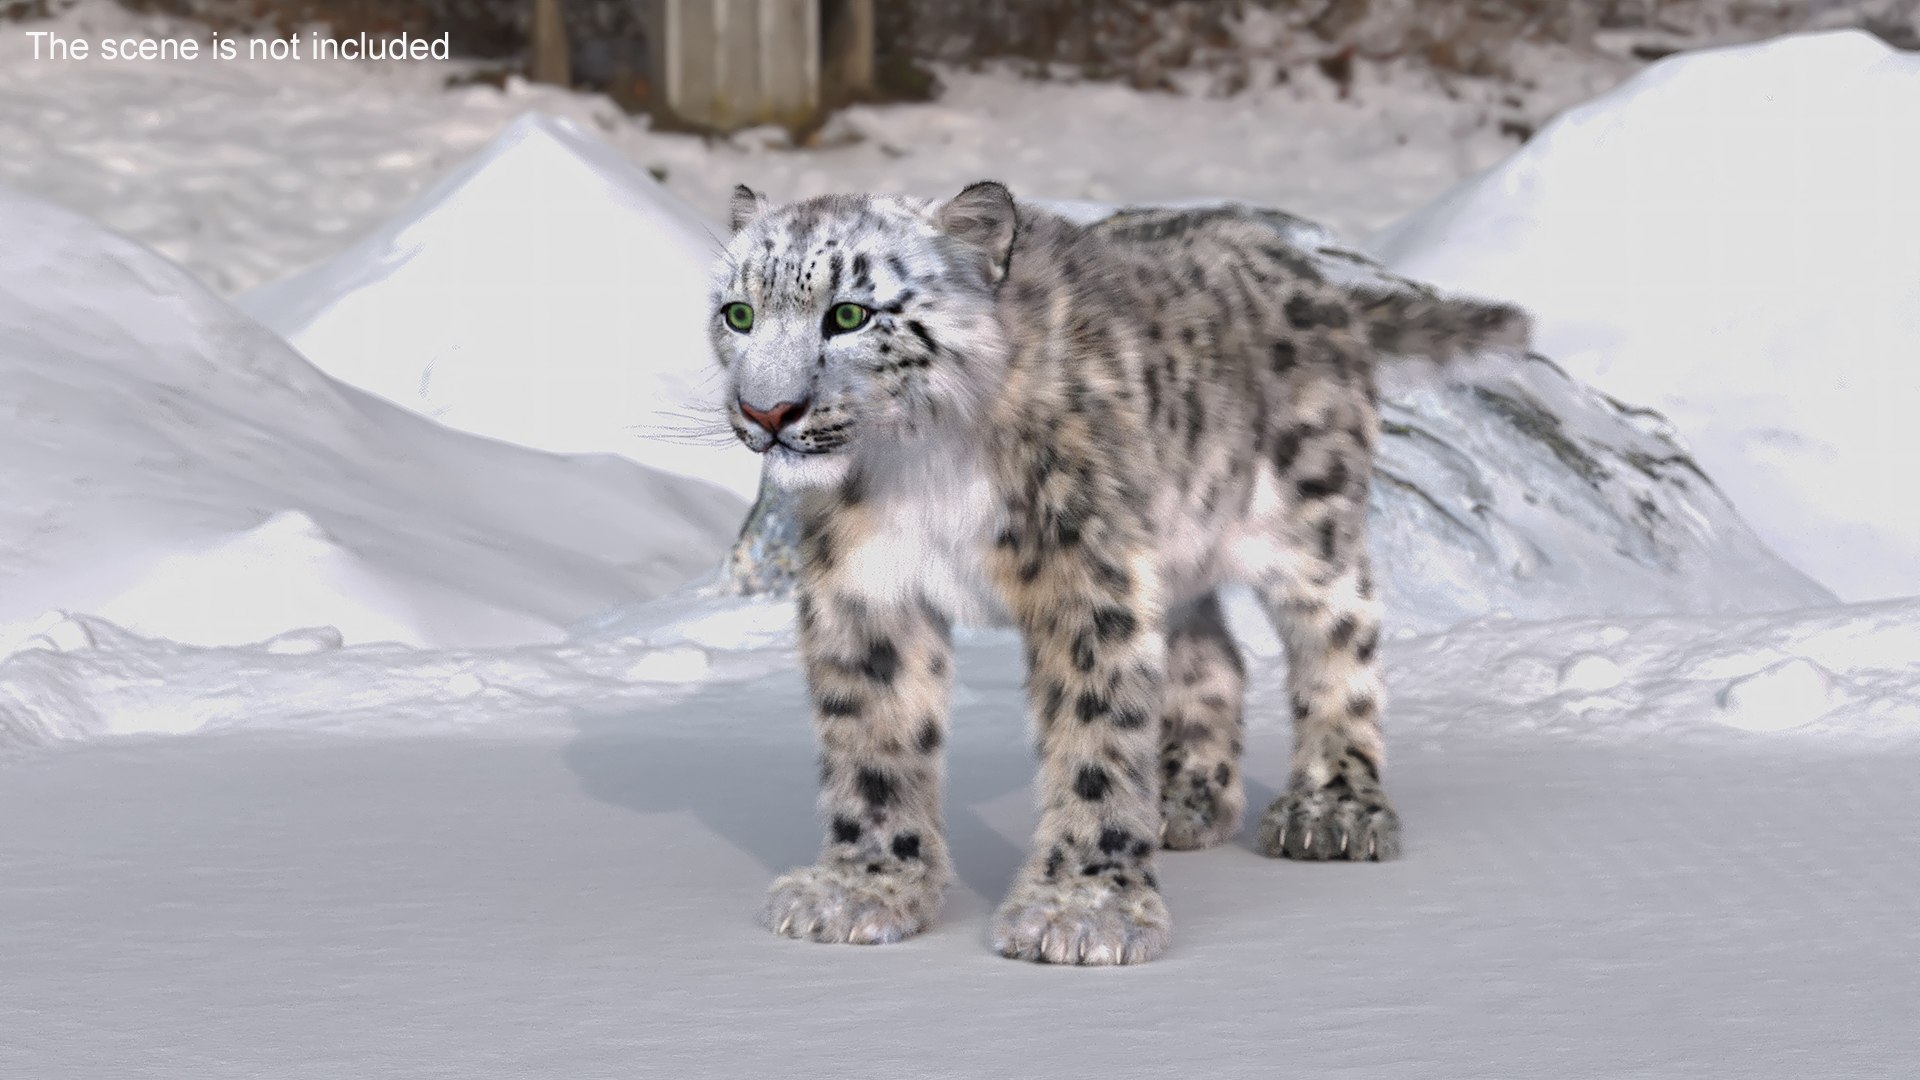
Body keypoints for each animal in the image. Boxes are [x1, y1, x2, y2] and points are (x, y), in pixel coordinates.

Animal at [707, 181, 1530, 965]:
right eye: (738, 314)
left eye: (849, 314)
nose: (767, 411)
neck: (920, 469)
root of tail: (1316, 278)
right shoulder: (864, 589)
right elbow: (872, 739)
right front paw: (863, 889)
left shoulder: (1086, 574)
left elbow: (1095, 732)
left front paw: (1081, 912)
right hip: (1174, 551)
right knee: (1215, 658)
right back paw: (1182, 800)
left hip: (1310, 527)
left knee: (1341, 648)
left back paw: (1332, 813)